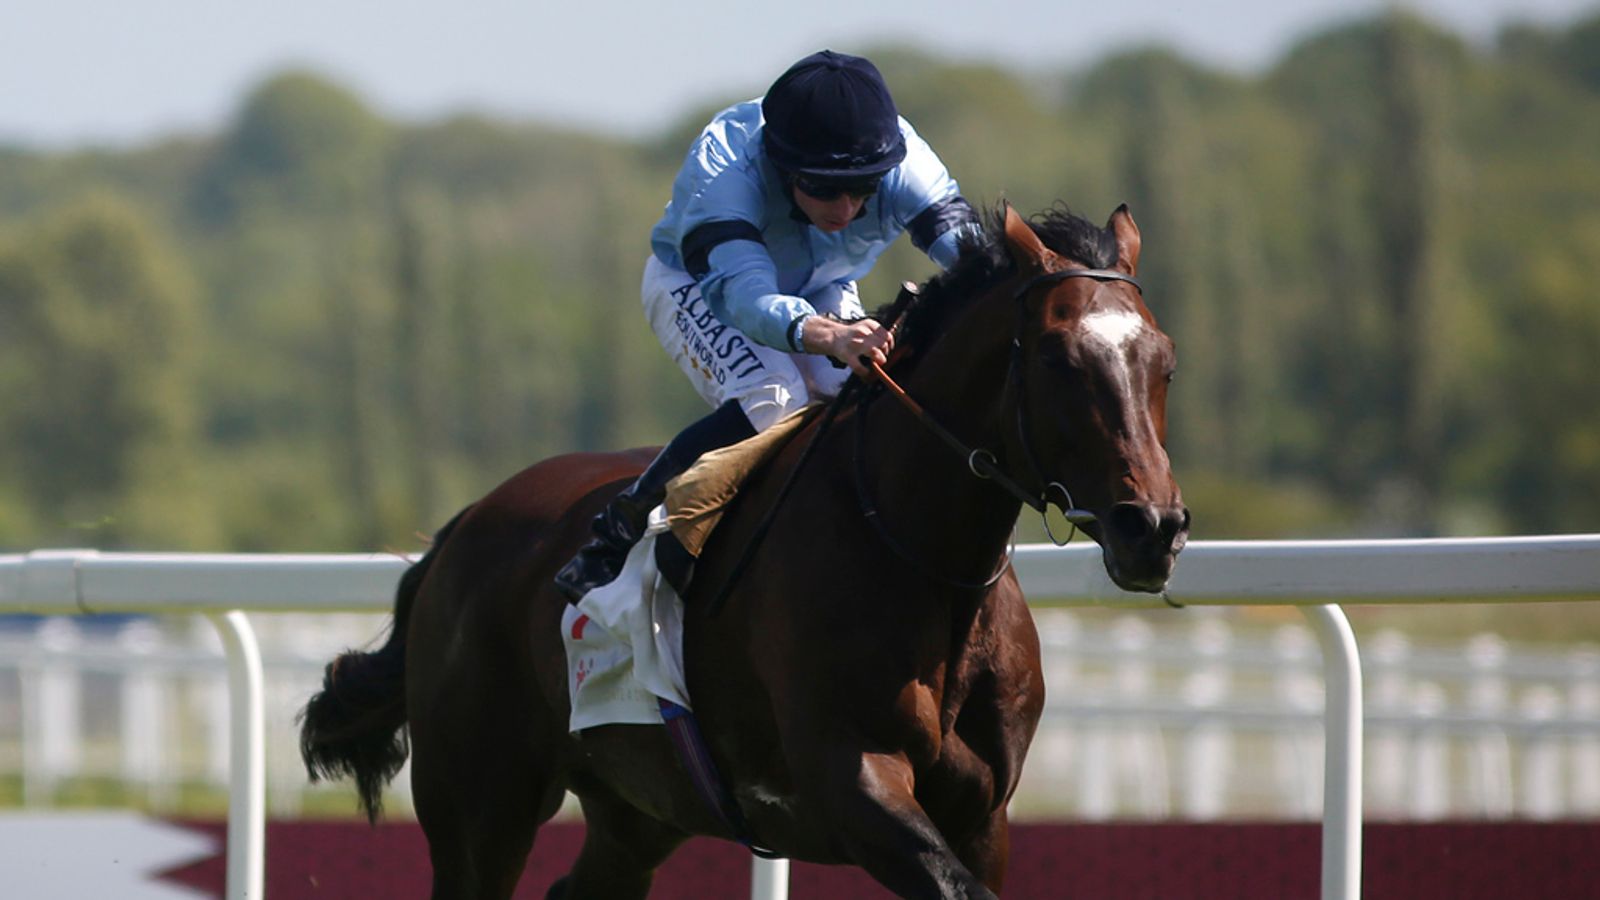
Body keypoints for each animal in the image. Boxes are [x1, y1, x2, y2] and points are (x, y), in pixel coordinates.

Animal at [300, 202, 1188, 899]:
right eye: (1059, 358)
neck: (917, 554)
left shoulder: (983, 815)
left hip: (639, 807)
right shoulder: (854, 786)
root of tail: (463, 528)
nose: (1151, 527)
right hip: (481, 801)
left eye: (1165, 361)